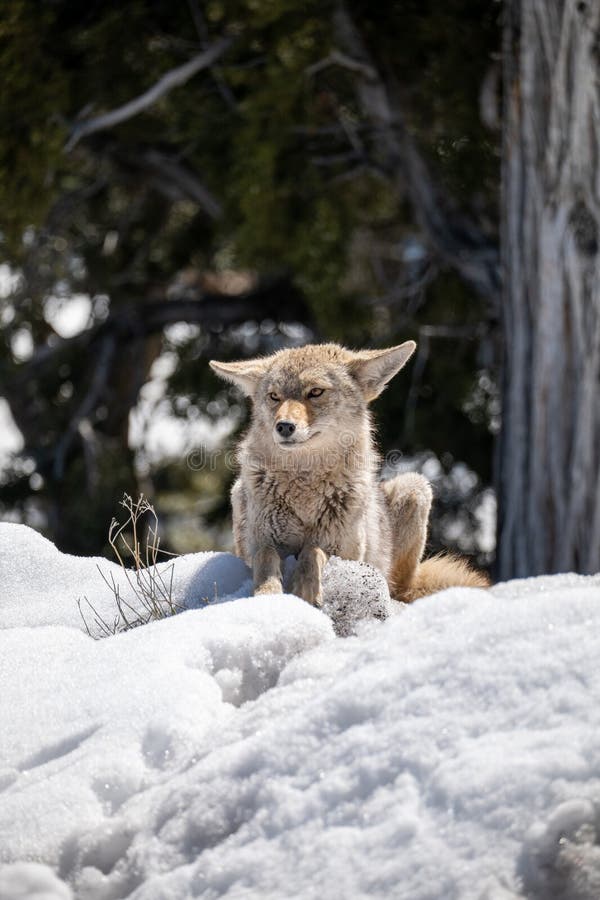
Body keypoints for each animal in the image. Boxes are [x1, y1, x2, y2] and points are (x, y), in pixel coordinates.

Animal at [210, 342, 489, 607]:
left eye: (315, 392)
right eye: (274, 397)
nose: (284, 426)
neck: (304, 488)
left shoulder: (345, 552)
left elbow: (313, 550)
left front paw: (306, 589)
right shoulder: (259, 543)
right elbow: (265, 557)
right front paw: (269, 595)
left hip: (415, 487)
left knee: (401, 589)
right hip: (237, 491)